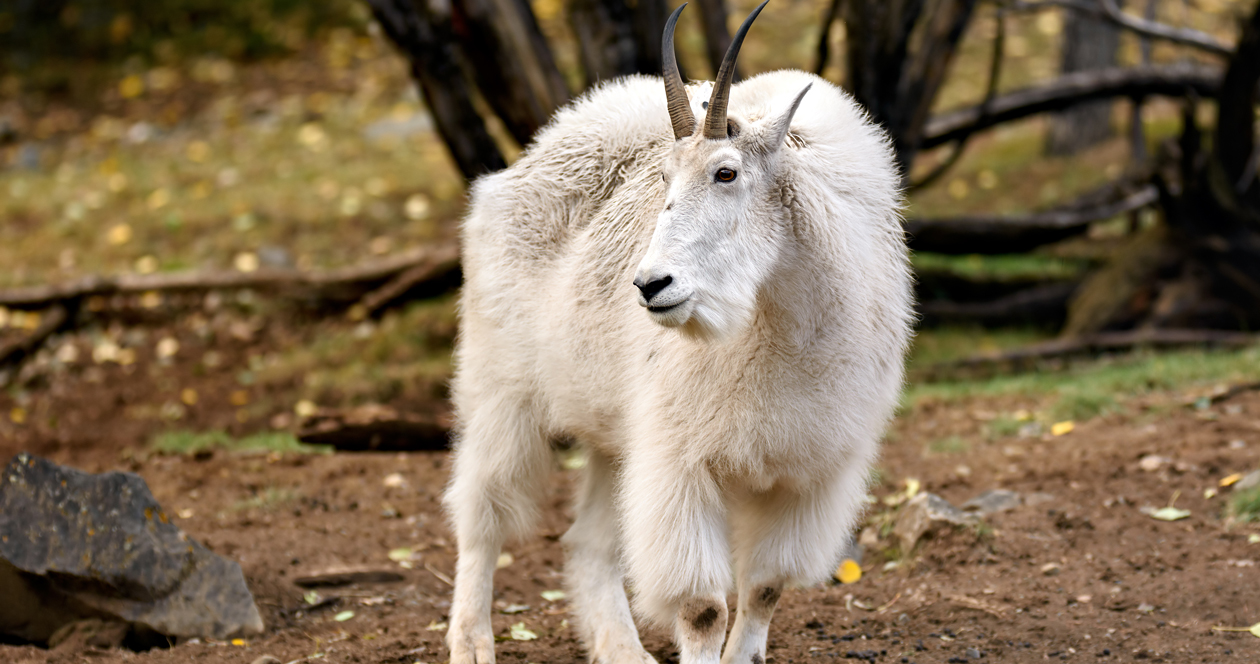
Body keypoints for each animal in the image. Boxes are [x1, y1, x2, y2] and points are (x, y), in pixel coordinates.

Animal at [442, 3, 913, 663]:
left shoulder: (811, 472)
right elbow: (703, 607)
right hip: (502, 392)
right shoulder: (681, 464)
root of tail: (517, 169)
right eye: (662, 177)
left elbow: (764, 586)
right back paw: (472, 643)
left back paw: (624, 650)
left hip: (613, 435)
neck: (784, 328)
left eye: (726, 172)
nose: (650, 284)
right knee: (481, 514)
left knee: (586, 541)